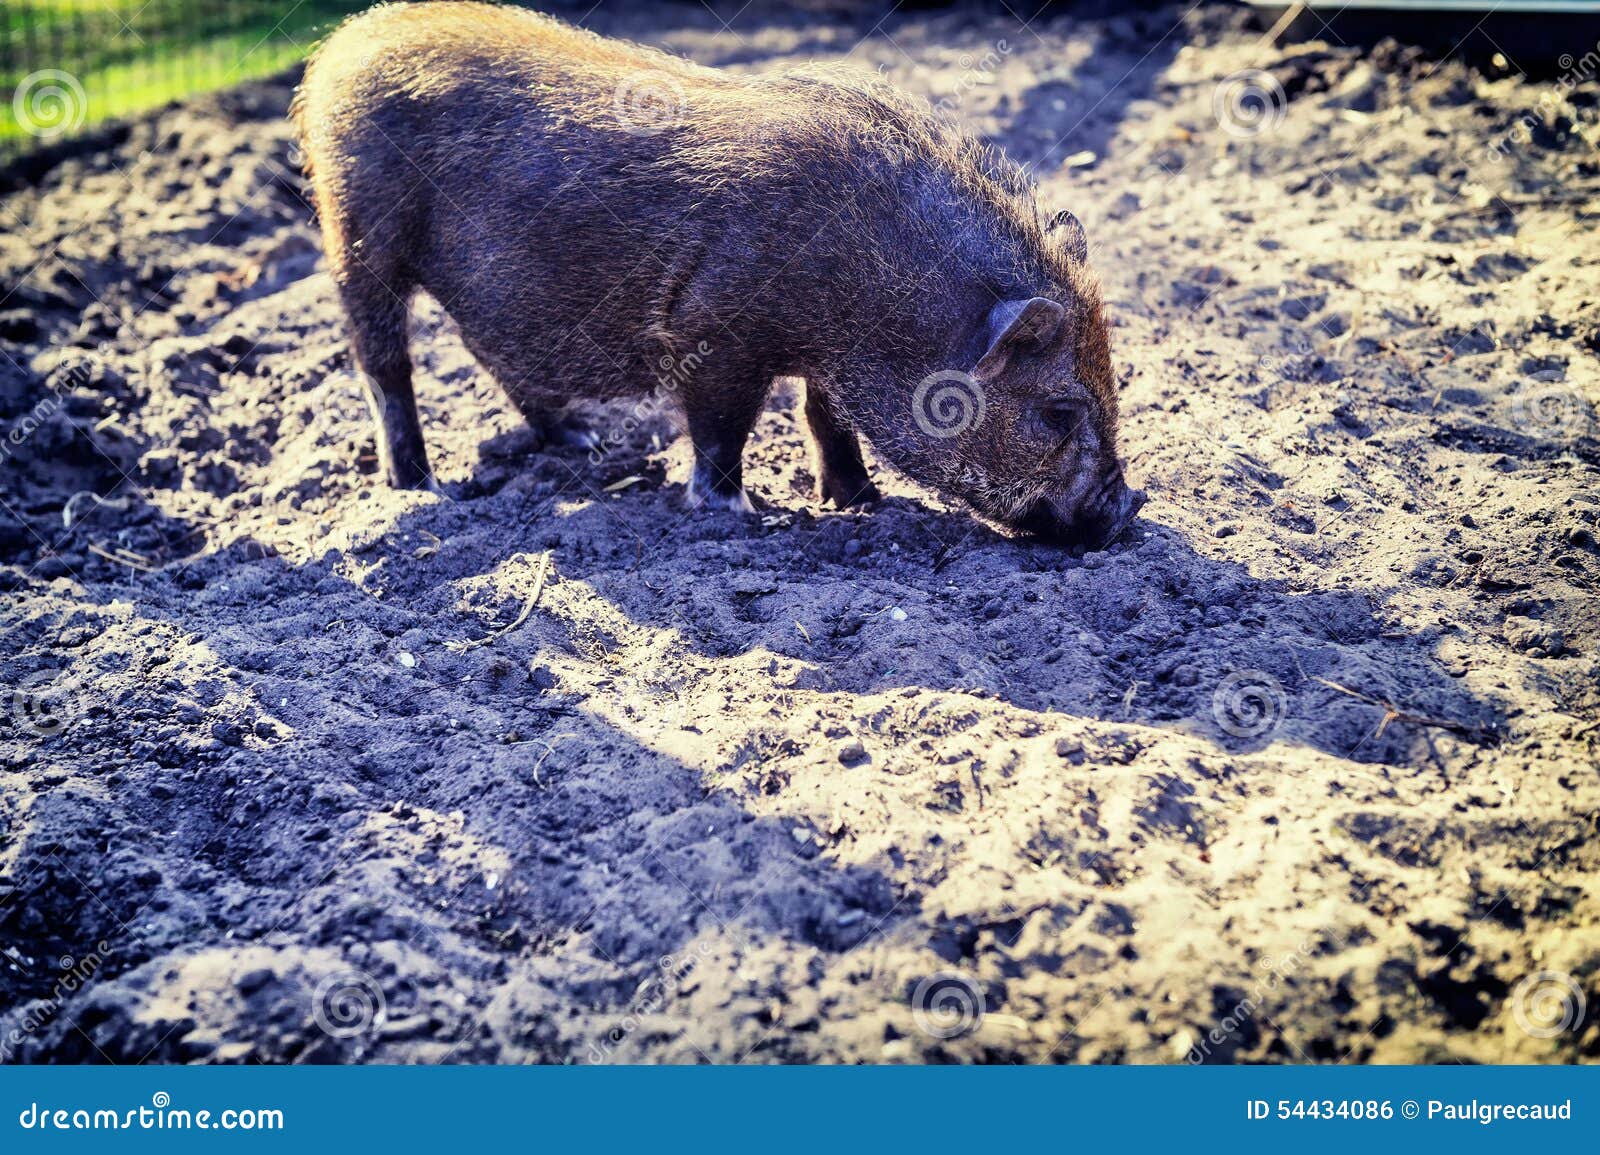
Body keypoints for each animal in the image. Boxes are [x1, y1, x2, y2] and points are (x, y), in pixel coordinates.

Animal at [292, 2, 1146, 546]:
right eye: (1060, 412)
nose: (1131, 509)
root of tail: (342, 47)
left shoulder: (824, 360)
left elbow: (824, 419)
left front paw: (863, 502)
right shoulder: (712, 332)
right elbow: (722, 430)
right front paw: (748, 515)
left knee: (493, 355)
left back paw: (585, 445)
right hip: (357, 235)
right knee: (383, 362)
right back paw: (420, 487)